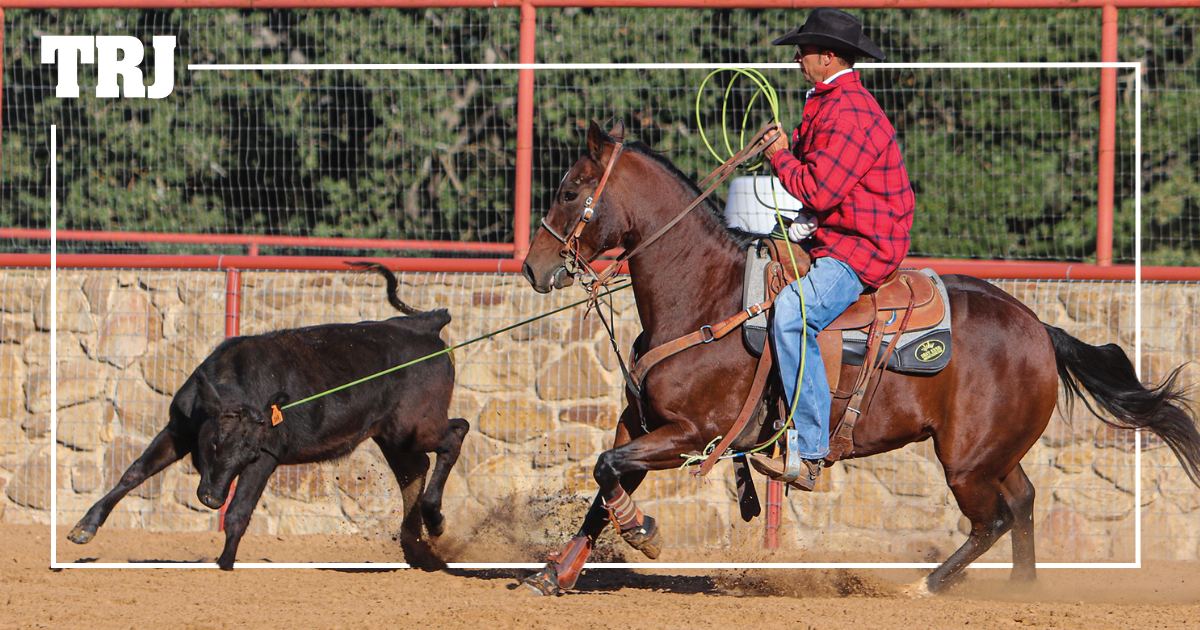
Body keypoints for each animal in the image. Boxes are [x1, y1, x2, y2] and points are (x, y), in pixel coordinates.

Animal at [518, 120, 1200, 597]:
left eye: (570, 190)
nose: (532, 267)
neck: (703, 298)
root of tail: (1039, 329)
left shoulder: (692, 432)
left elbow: (607, 469)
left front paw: (643, 533)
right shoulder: (639, 423)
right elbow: (604, 482)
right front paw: (557, 573)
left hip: (965, 462)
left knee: (992, 521)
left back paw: (927, 586)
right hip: (992, 453)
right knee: (1026, 501)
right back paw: (1019, 591)